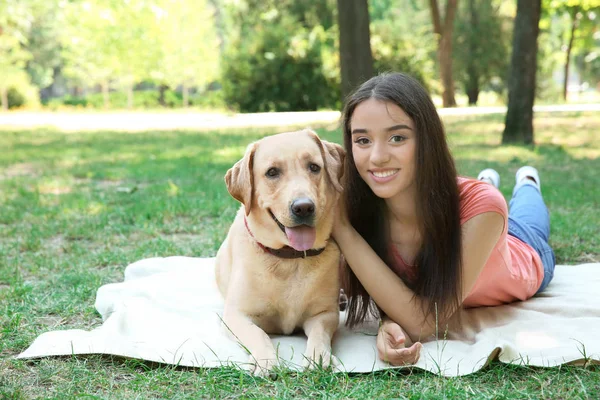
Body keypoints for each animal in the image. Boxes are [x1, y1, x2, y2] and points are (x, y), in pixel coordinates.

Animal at [216, 129, 346, 376]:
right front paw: (265, 360)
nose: (304, 207)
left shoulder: (324, 313)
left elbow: (319, 334)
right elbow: (258, 333)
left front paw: (319, 356)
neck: (290, 259)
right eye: (272, 172)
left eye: (314, 167)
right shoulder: (236, 315)